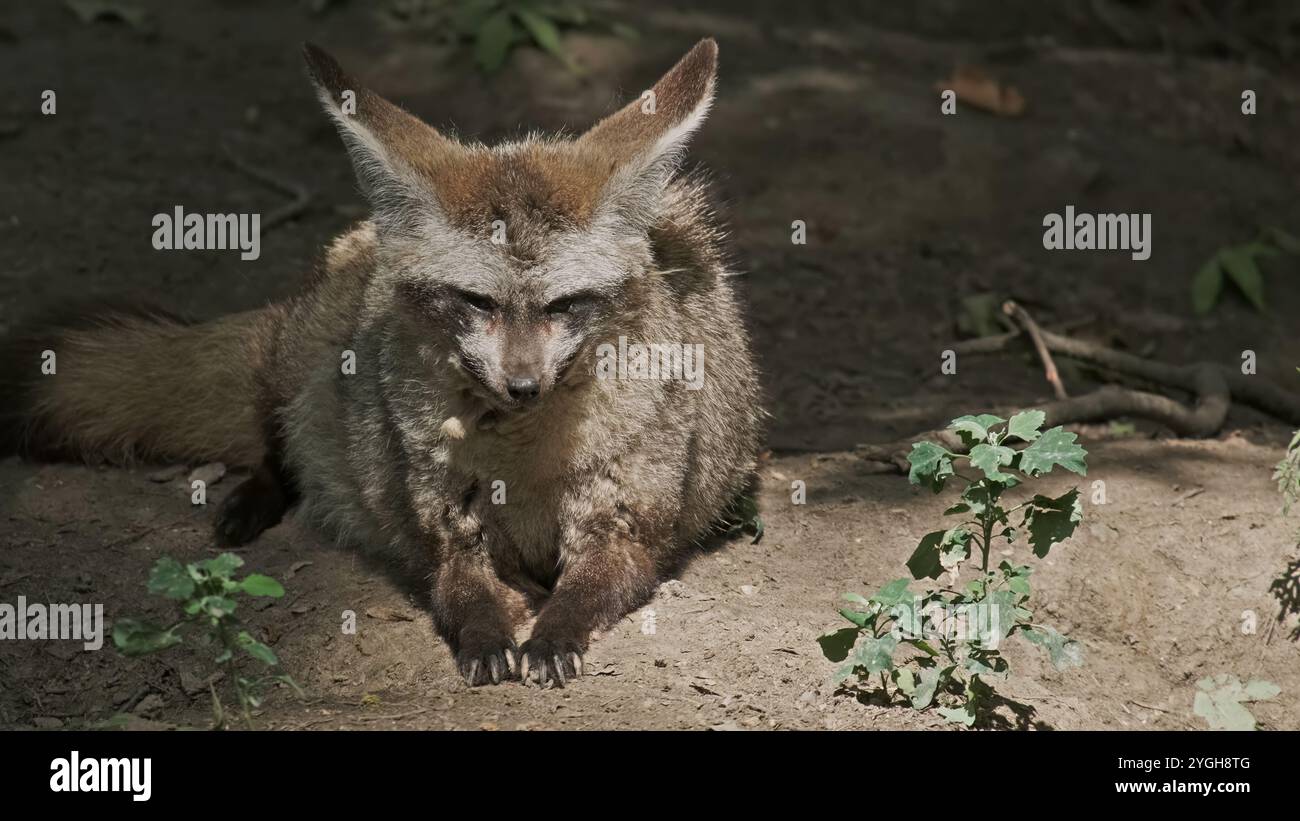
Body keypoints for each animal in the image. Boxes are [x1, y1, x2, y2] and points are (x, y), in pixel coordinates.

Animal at [0, 39, 762, 687]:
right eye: (477, 300)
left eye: (564, 304)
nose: (521, 385)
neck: (526, 461)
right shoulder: (448, 532)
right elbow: (464, 594)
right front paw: (490, 634)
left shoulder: (629, 532)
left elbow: (582, 594)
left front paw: (550, 635)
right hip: (300, 371)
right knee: (276, 445)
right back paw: (254, 500)